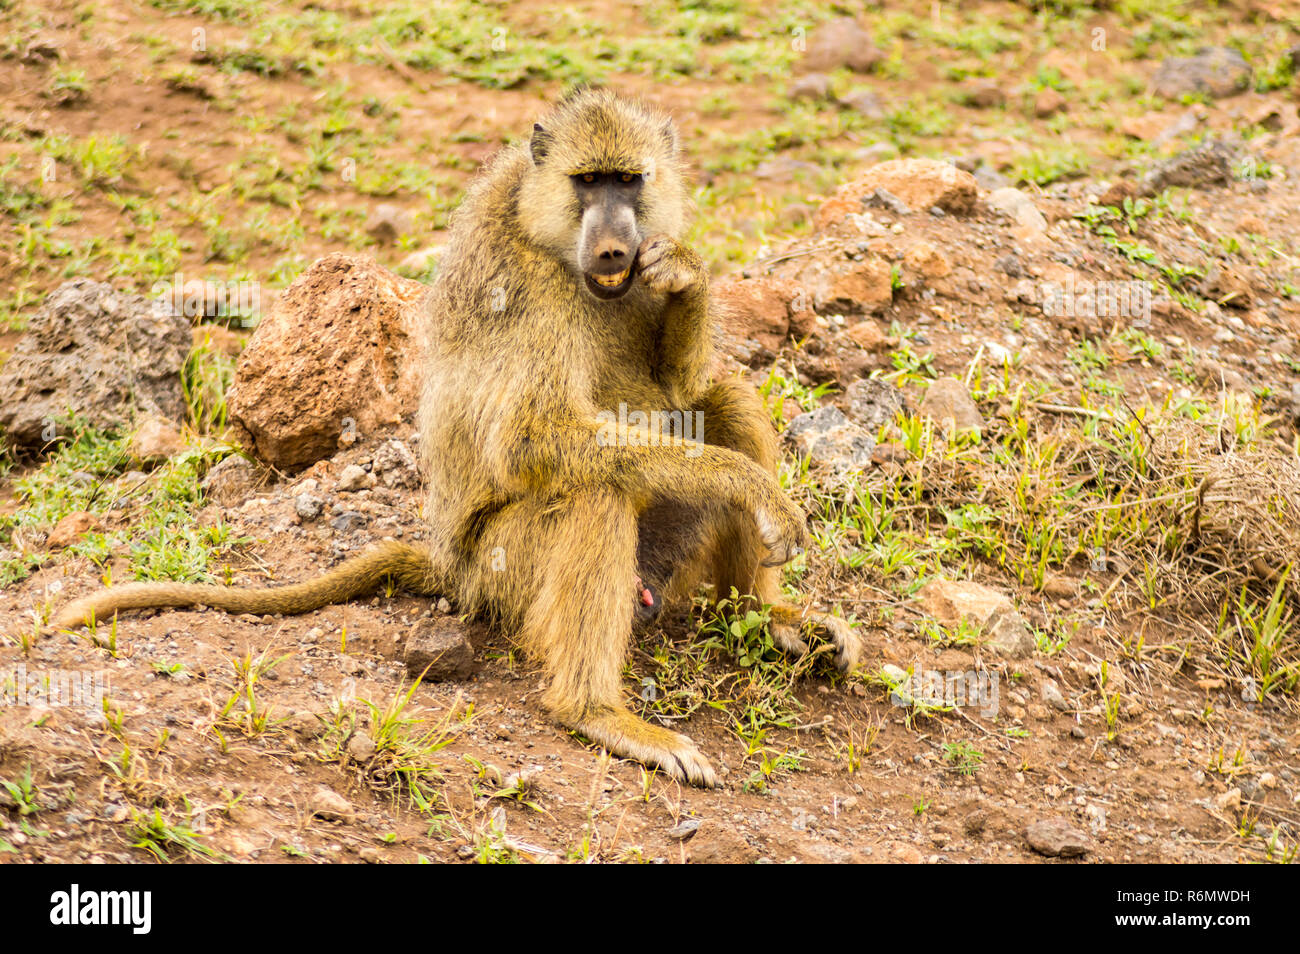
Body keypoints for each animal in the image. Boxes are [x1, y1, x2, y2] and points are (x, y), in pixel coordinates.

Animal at [52, 87, 862, 787]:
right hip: (499, 571)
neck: (548, 234)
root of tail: (447, 562)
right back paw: (596, 712)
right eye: (588, 182)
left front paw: (687, 276)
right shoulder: (529, 290)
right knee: (597, 490)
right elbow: (536, 439)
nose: (612, 247)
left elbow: (685, 390)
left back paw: (773, 618)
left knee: (726, 401)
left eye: (628, 181)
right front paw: (751, 487)